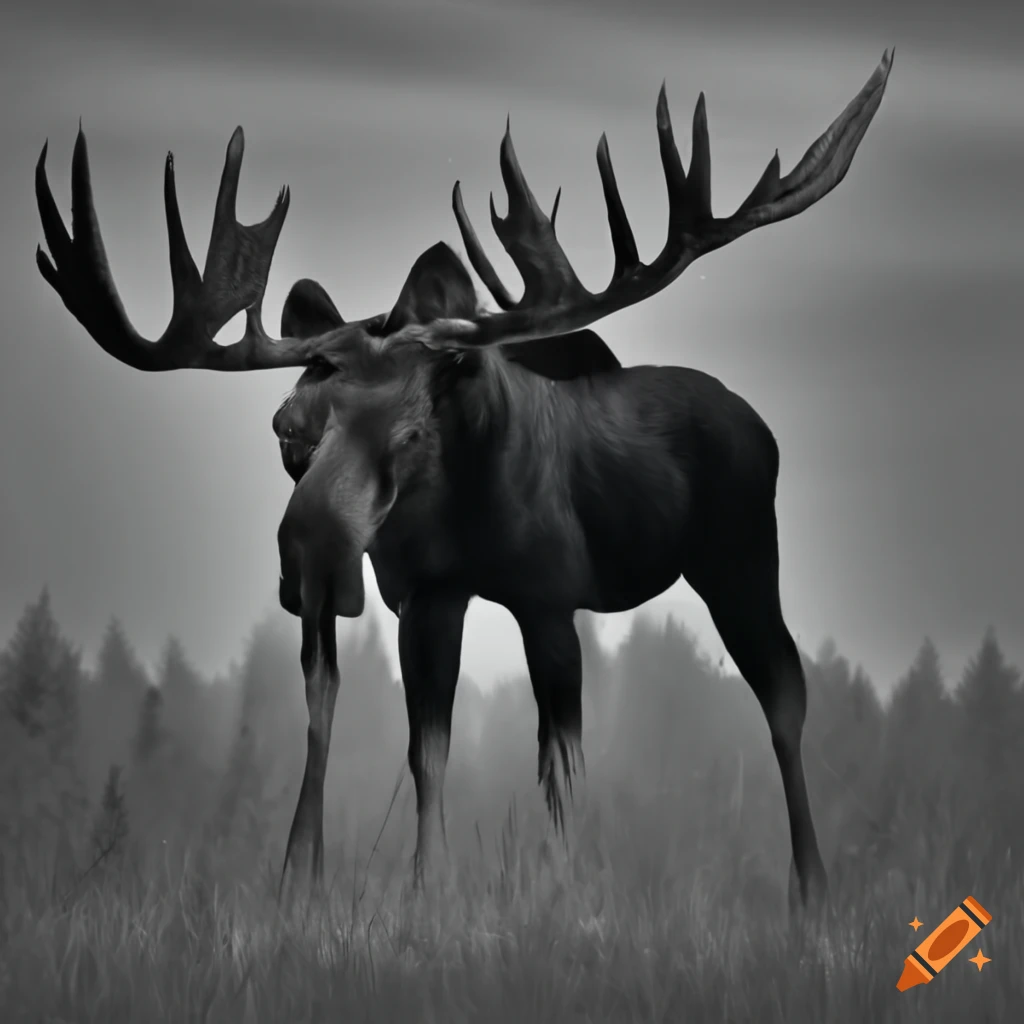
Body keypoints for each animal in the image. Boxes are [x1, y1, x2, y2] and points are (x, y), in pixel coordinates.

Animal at [35, 50, 892, 914]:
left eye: (412, 431)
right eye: (286, 430)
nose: (310, 557)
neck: (458, 509)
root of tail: (758, 421)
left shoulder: (550, 599)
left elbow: (561, 766)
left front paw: (563, 894)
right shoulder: (429, 599)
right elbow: (426, 751)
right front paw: (412, 889)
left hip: (740, 559)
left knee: (784, 695)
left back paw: (812, 890)